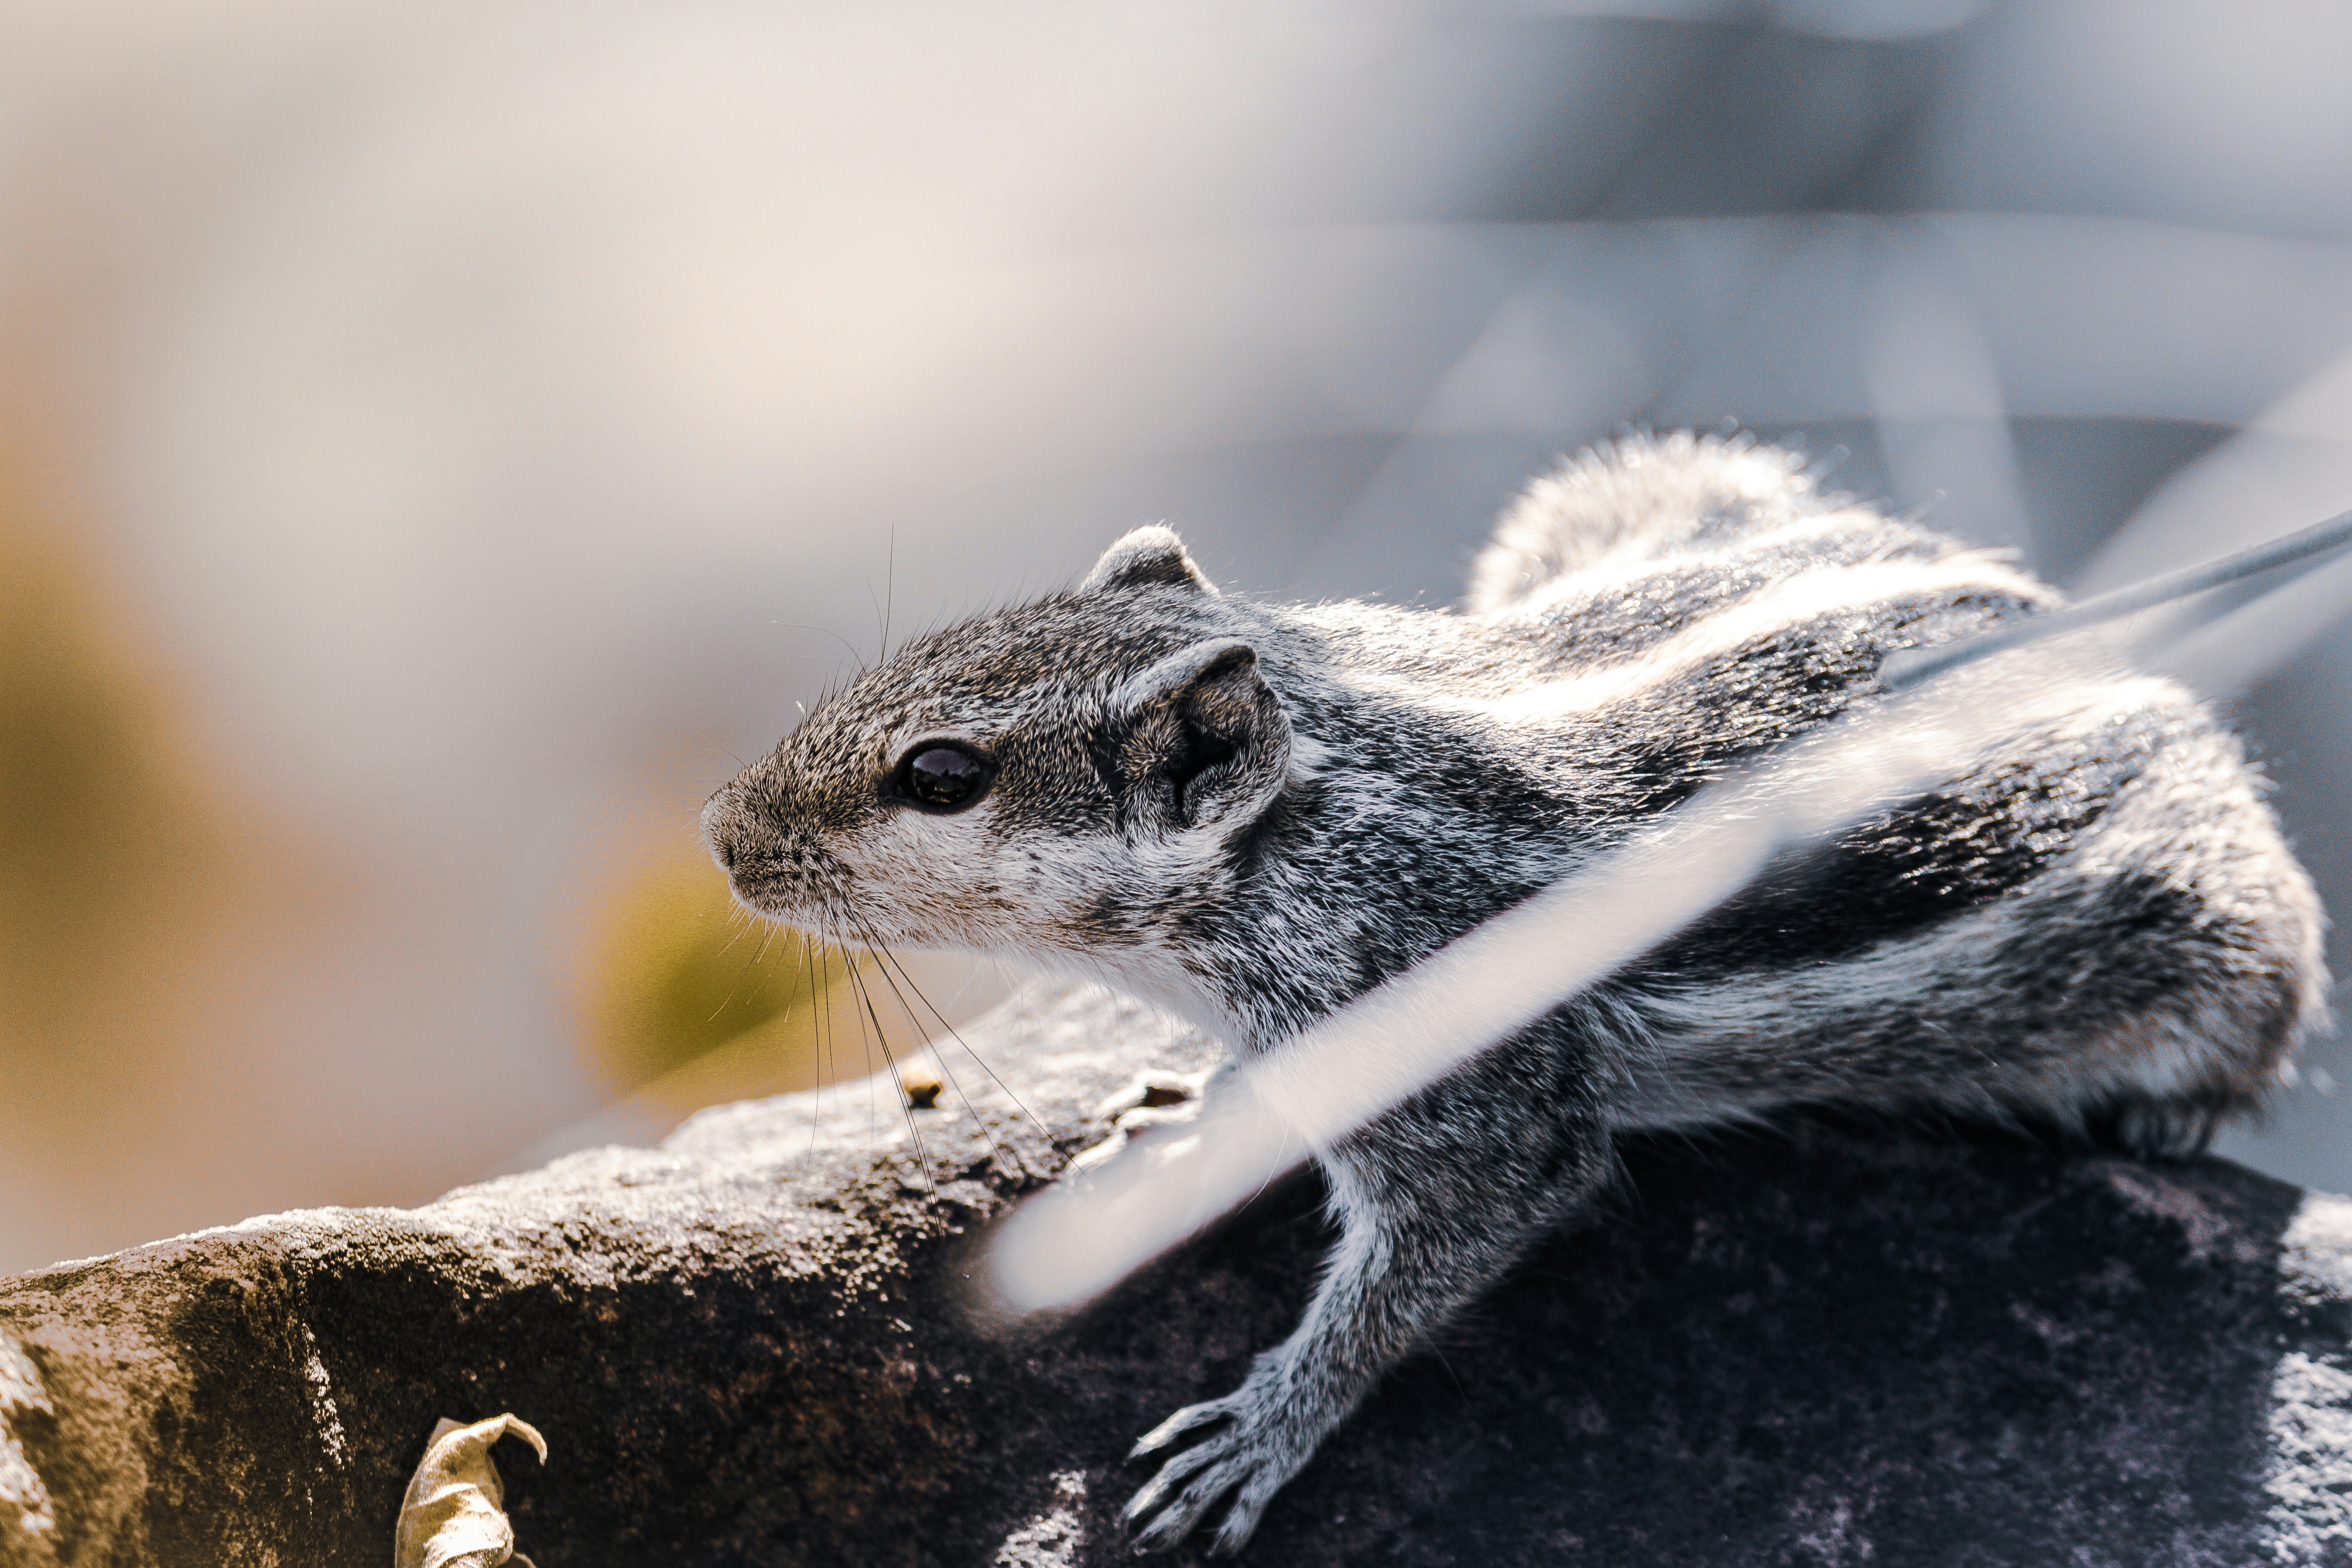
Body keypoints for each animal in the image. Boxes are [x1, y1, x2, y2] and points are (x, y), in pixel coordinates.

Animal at [700, 431, 2330, 1555]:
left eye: (940, 777)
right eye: (921, 648)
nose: (717, 832)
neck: (1323, 806)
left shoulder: (1468, 1087)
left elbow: (1429, 1261)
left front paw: (1260, 1428)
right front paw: (1179, 1118)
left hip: (2216, 928)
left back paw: (2159, 1120)